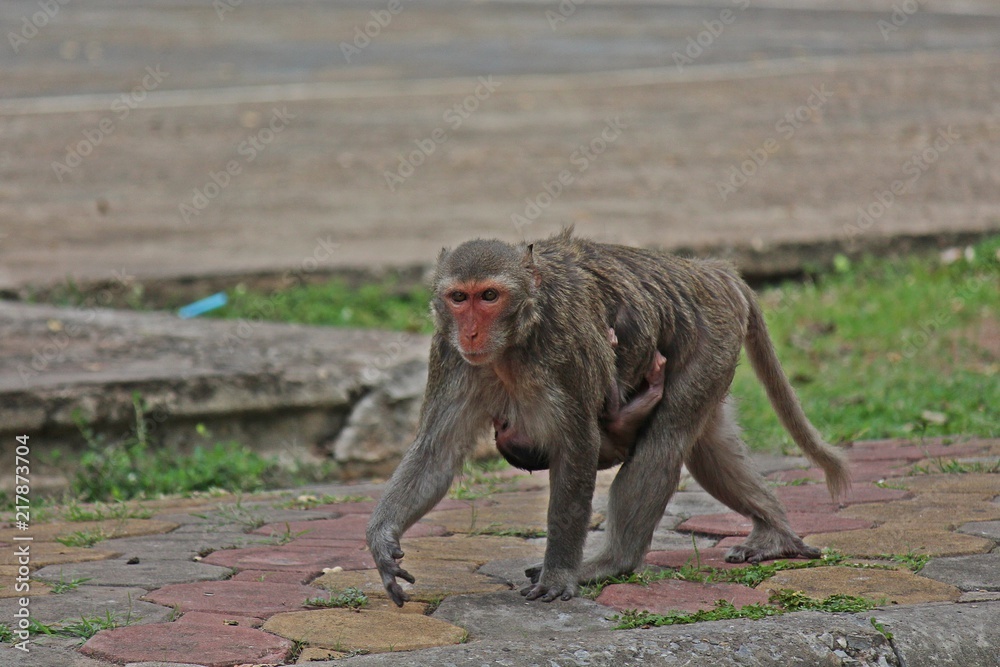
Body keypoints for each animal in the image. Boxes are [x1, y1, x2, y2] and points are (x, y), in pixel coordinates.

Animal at [366, 229, 850, 606]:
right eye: (458, 298)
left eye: (489, 296)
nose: (469, 332)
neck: (516, 340)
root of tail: (709, 271)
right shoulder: (449, 355)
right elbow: (437, 453)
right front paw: (383, 539)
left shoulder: (568, 347)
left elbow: (579, 449)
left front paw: (559, 573)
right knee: (707, 447)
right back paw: (775, 533)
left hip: (710, 335)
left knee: (664, 443)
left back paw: (612, 562)